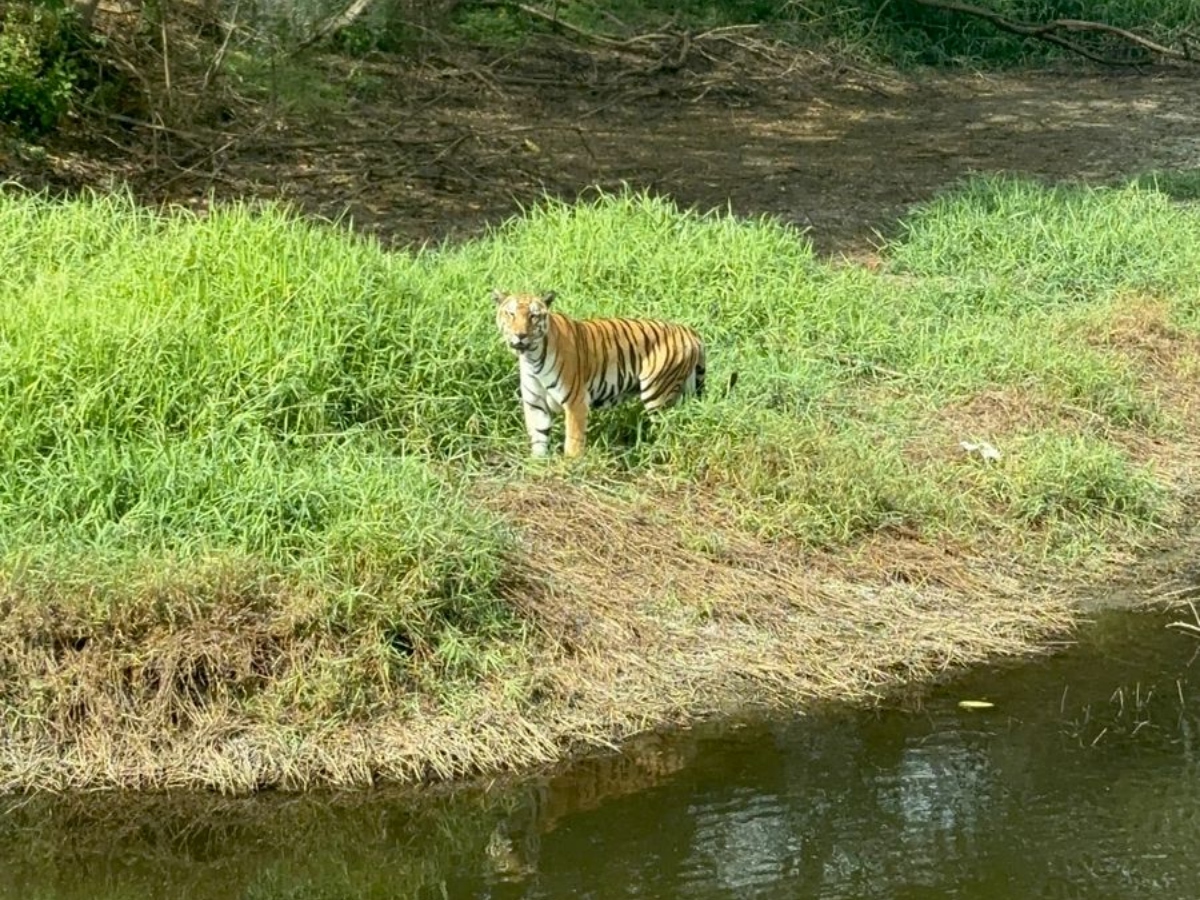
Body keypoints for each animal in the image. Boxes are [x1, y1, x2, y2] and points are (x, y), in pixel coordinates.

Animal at [492, 289, 708, 458]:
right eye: (510, 314)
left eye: (533, 316)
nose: (520, 335)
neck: (531, 357)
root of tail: (690, 330)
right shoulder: (536, 404)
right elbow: (539, 437)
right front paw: (538, 464)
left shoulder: (576, 401)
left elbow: (573, 440)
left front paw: (569, 467)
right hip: (685, 390)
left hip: (657, 393)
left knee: (668, 427)